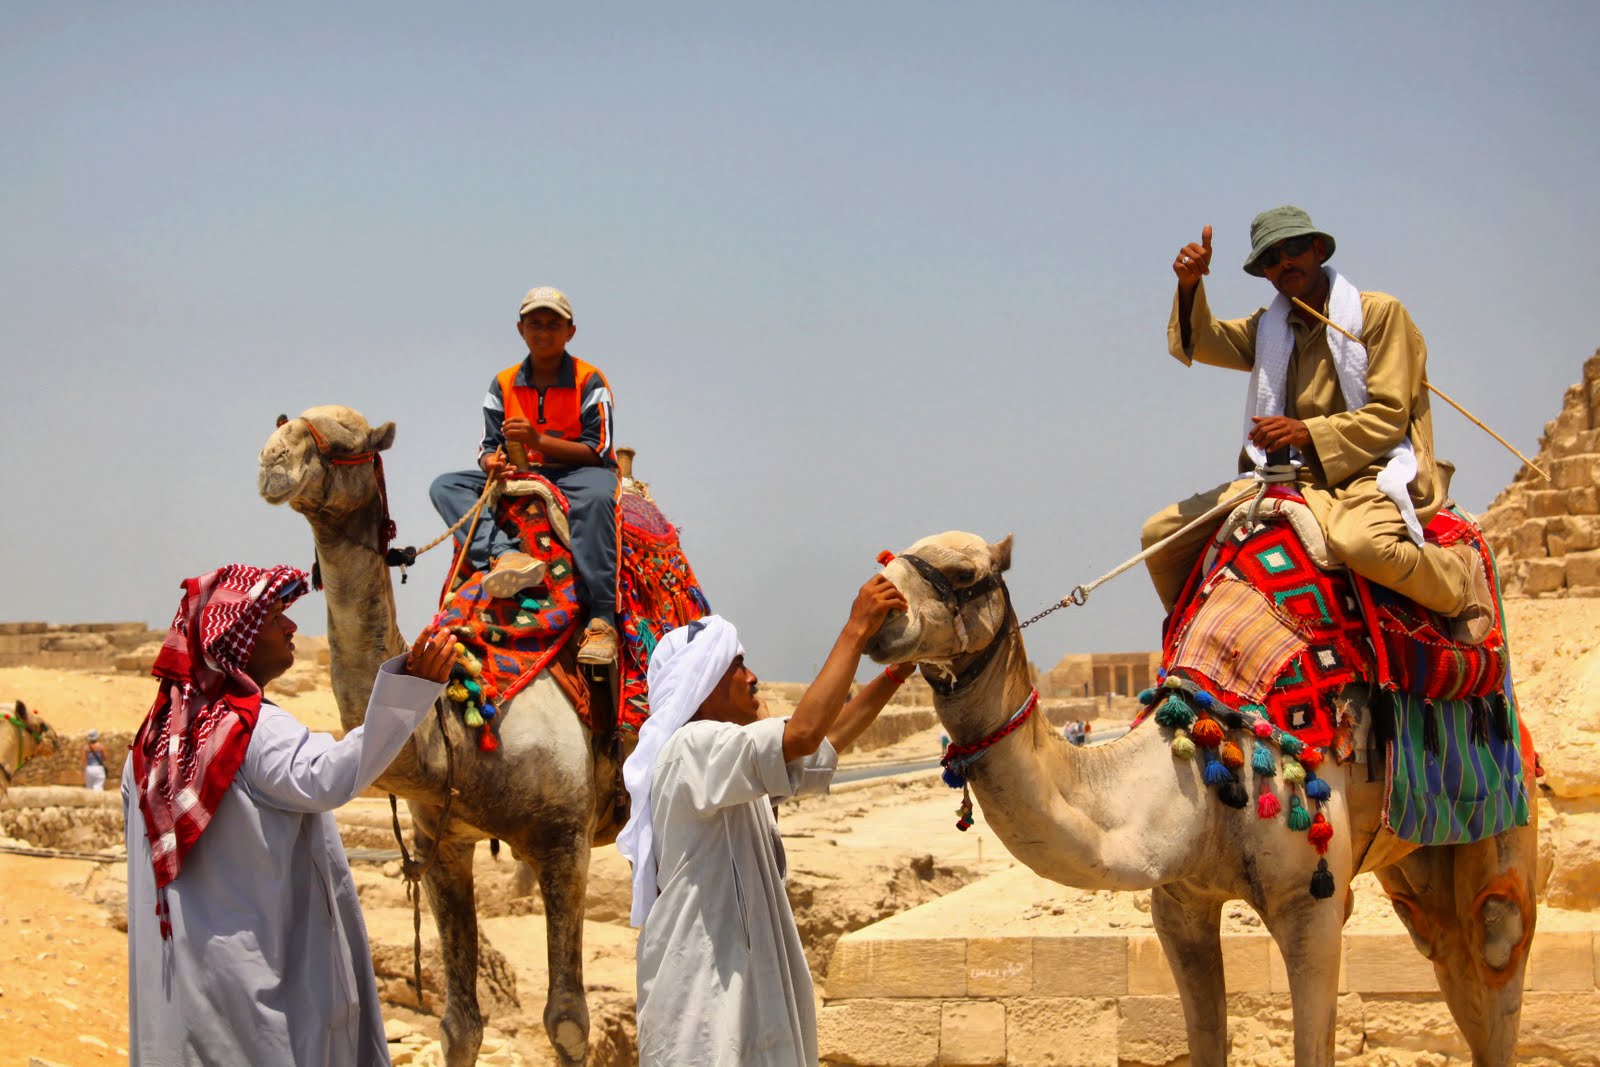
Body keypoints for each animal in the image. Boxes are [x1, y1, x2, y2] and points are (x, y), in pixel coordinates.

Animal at [258, 405, 624, 1067]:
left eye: (345, 442)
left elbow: (567, 1021)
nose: (272, 460)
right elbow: (459, 1023)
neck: (463, 728)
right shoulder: (441, 847)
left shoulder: (566, 844)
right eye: (283, 424)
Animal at [868, 530, 1538, 1067]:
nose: (877, 618)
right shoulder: (1179, 905)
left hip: (1507, 801)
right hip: (1413, 848)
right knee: (1441, 942)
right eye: (889, 558)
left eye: (962, 573)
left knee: (1495, 936)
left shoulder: (1312, 900)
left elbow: (1313, 1044)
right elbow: (1205, 1038)